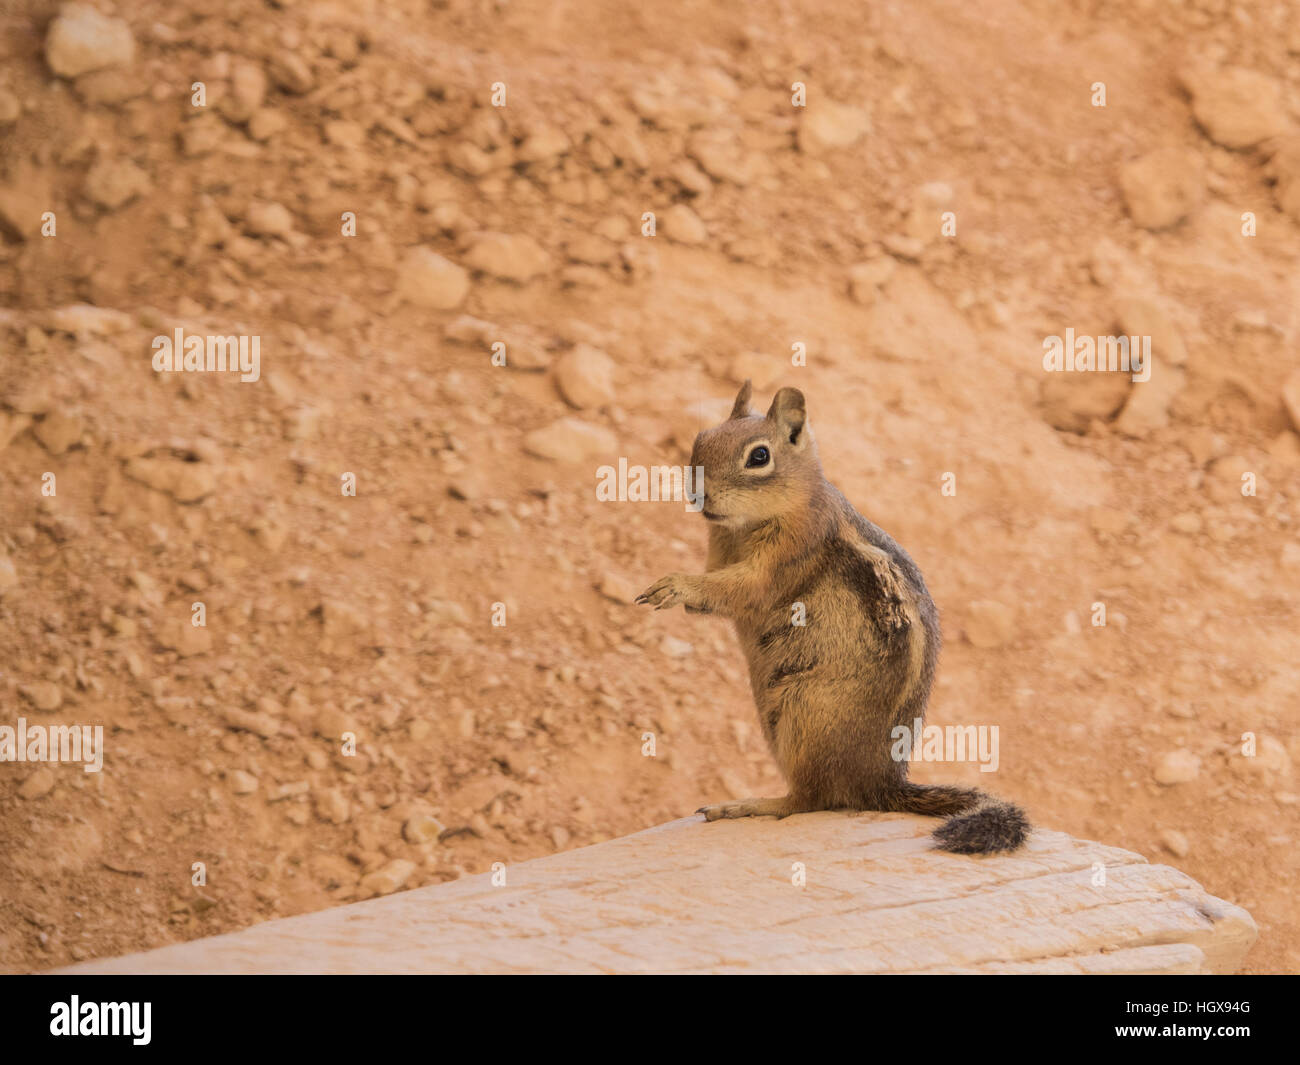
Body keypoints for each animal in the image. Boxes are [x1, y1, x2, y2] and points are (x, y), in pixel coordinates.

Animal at [637, 381, 1028, 854]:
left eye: (759, 457)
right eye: (700, 441)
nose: (697, 494)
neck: (747, 525)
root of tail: (880, 784)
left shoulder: (790, 553)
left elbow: (743, 590)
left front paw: (677, 585)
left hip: (804, 715)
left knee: (810, 800)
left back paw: (749, 804)